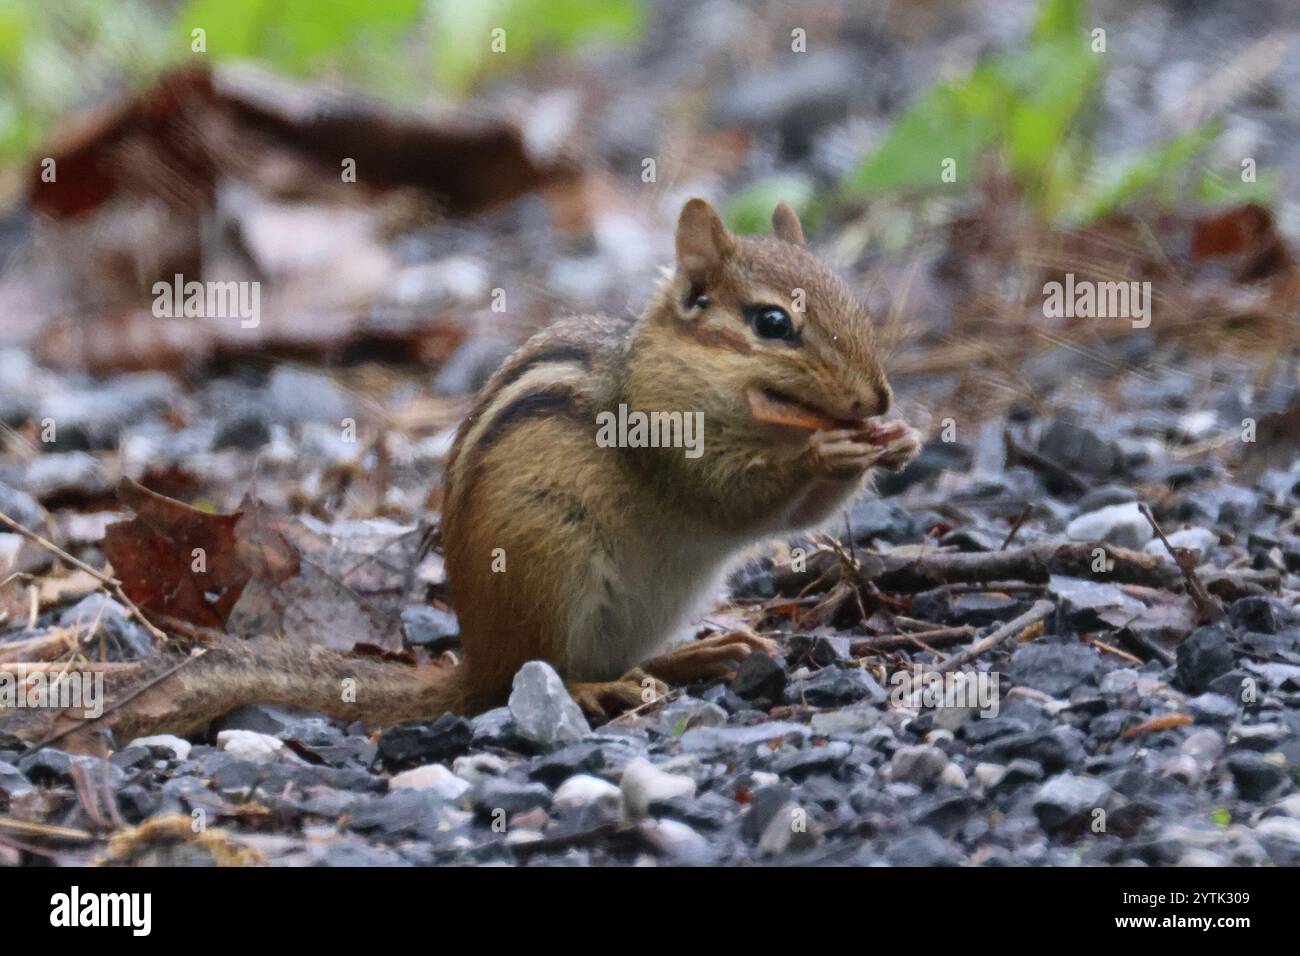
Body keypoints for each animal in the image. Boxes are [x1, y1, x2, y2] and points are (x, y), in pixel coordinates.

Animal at [103, 199, 922, 741]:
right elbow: (728, 494)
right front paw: (825, 451)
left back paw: (702, 653)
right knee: (539, 670)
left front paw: (898, 437)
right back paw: (596, 689)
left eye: (853, 304)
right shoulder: (659, 434)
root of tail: (476, 655)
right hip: (550, 562)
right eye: (772, 323)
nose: (878, 396)